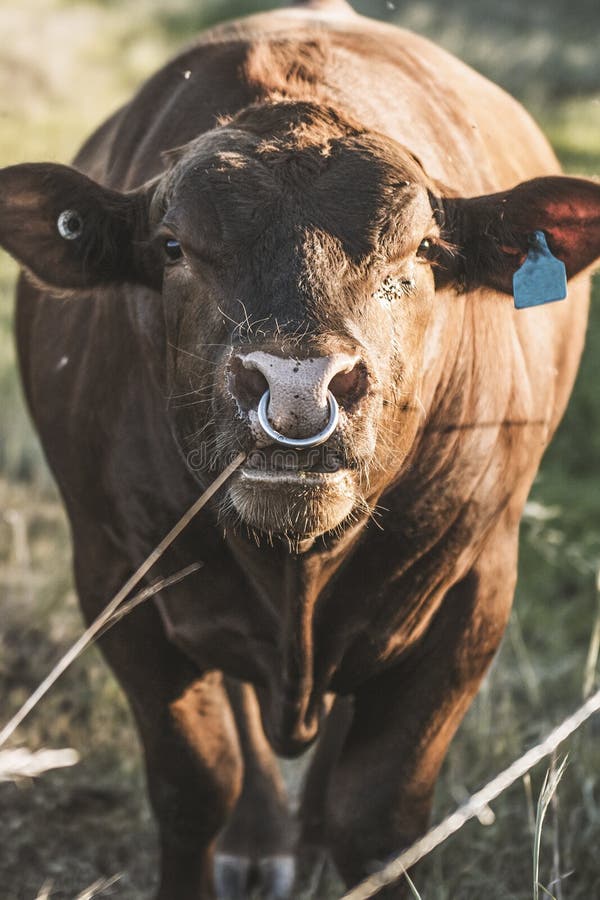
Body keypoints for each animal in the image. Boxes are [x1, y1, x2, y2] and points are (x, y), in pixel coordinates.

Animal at [1, 0, 600, 896]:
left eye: (420, 251)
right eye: (173, 247)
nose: (296, 385)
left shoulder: (474, 593)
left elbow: (378, 814)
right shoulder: (116, 579)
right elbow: (193, 786)